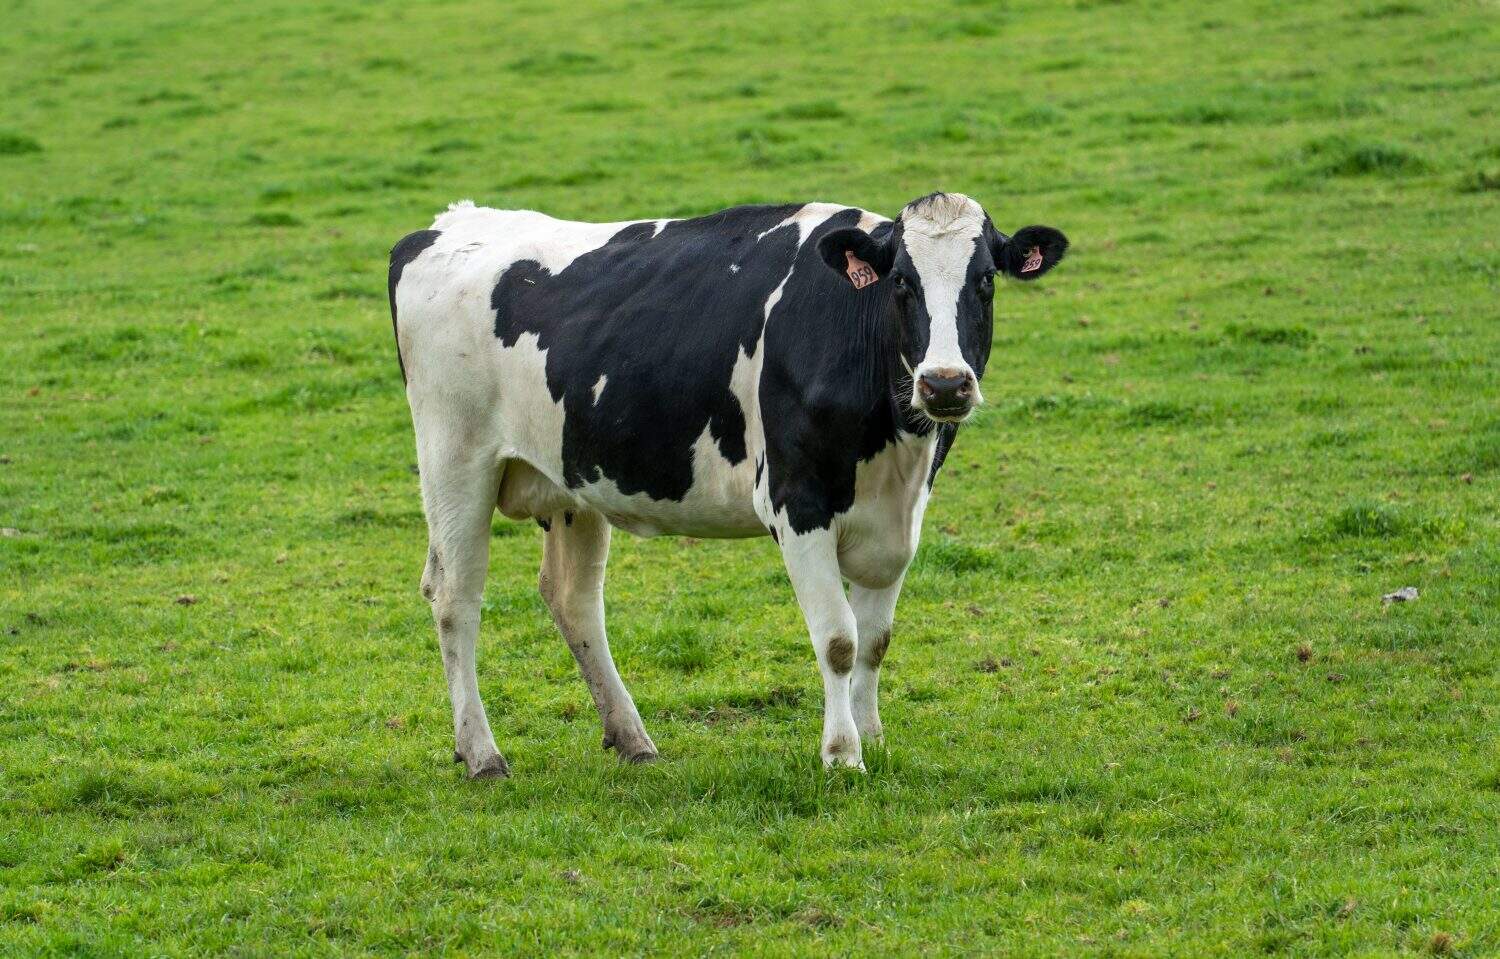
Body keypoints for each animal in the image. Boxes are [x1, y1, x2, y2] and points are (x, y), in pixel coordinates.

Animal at [388, 192, 1067, 778]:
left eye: (986, 280)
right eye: (901, 281)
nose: (945, 384)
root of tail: (447, 223)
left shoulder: (900, 514)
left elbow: (875, 641)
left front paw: (872, 736)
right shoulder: (797, 502)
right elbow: (839, 640)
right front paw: (842, 754)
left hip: (571, 482)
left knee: (572, 598)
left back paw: (631, 738)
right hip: (455, 457)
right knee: (454, 597)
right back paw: (482, 753)